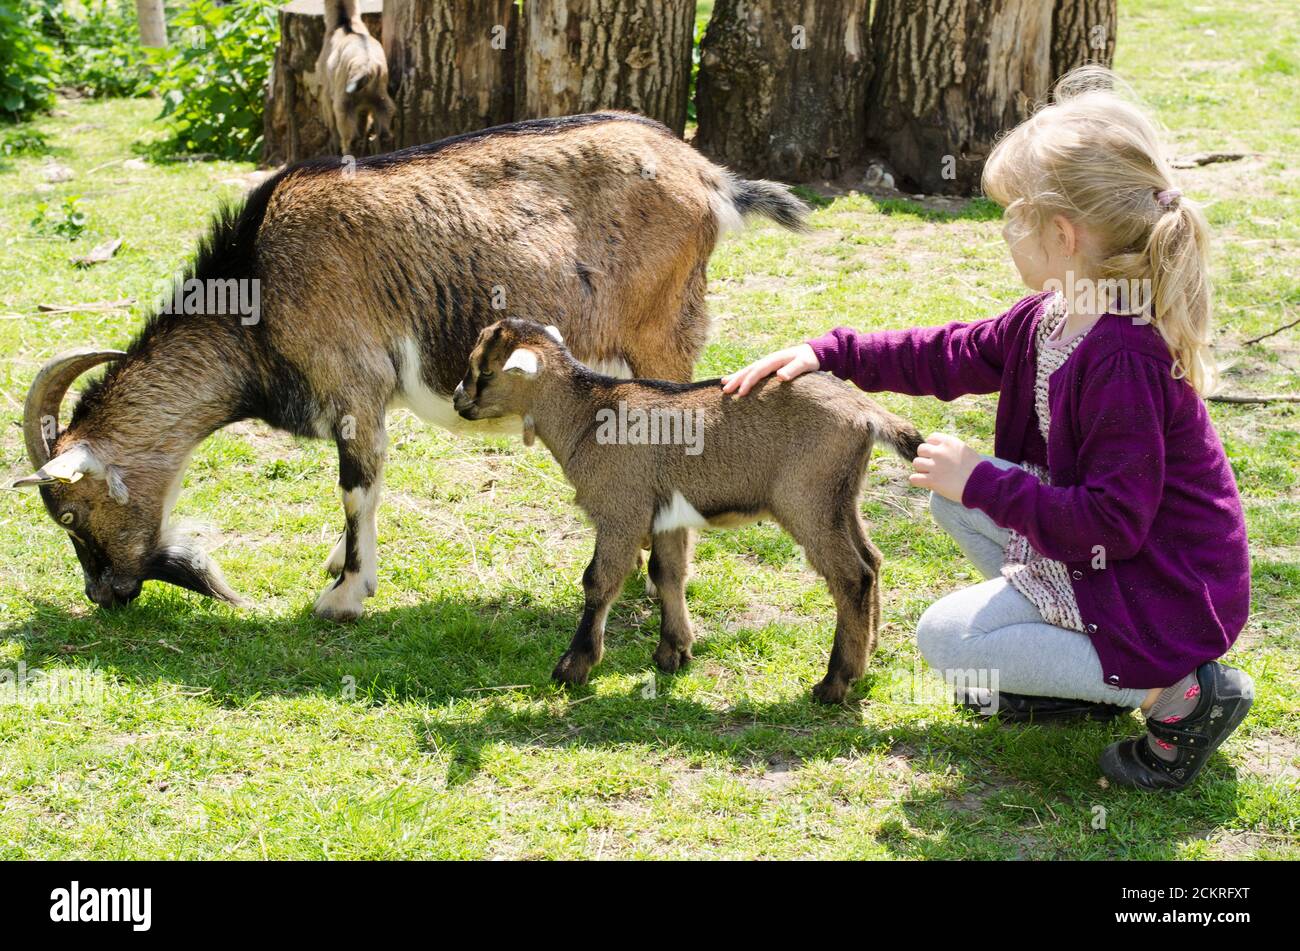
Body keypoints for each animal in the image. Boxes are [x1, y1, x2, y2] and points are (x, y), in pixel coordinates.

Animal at [13, 113, 808, 621]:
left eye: (70, 513)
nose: (106, 595)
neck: (259, 287)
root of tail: (709, 180)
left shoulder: (354, 386)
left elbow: (356, 484)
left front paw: (343, 595)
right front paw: (339, 564)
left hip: (662, 336)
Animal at [318, 0, 394, 155]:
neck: (344, 23)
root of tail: (367, 67)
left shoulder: (327, 91)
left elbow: (331, 122)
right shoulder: (363, 106)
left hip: (344, 102)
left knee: (352, 140)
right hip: (380, 96)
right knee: (384, 134)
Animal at [453, 319, 923, 704]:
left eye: (486, 370)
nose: (459, 400)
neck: (587, 415)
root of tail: (866, 412)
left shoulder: (621, 510)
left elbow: (599, 581)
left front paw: (574, 667)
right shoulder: (667, 515)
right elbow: (668, 573)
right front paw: (673, 652)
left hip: (807, 499)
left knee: (851, 575)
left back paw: (834, 683)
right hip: (840, 499)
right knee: (872, 560)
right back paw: (867, 653)